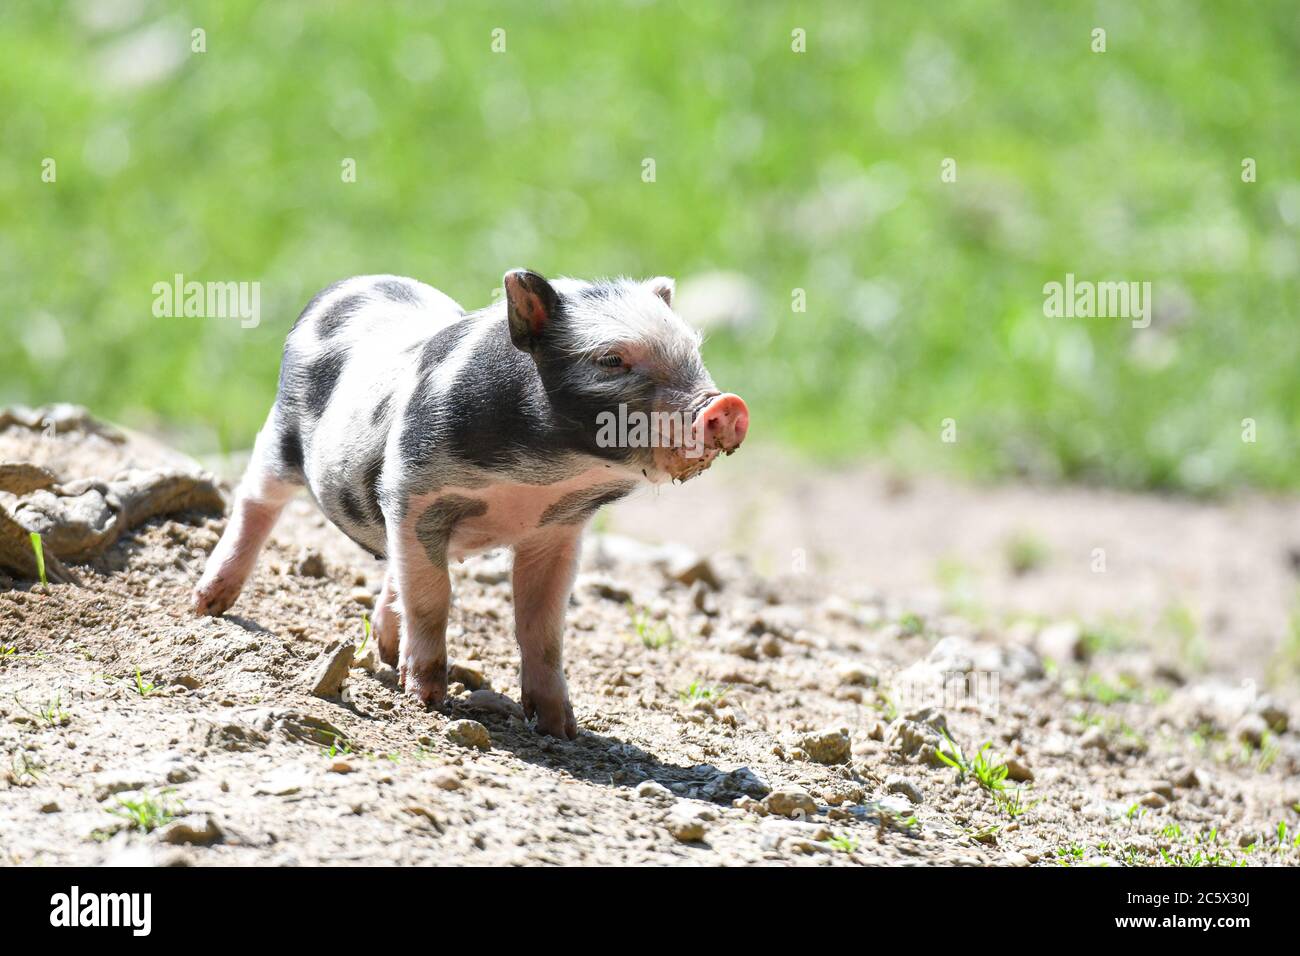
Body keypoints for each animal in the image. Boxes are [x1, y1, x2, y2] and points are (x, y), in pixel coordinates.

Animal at [192, 270, 748, 738]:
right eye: (611, 360)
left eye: (693, 352)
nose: (727, 404)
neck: (542, 481)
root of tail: (342, 286)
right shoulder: (413, 492)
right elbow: (433, 597)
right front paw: (427, 701)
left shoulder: (557, 530)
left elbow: (543, 628)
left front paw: (560, 728)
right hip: (280, 434)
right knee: (256, 500)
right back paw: (207, 605)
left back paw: (386, 651)